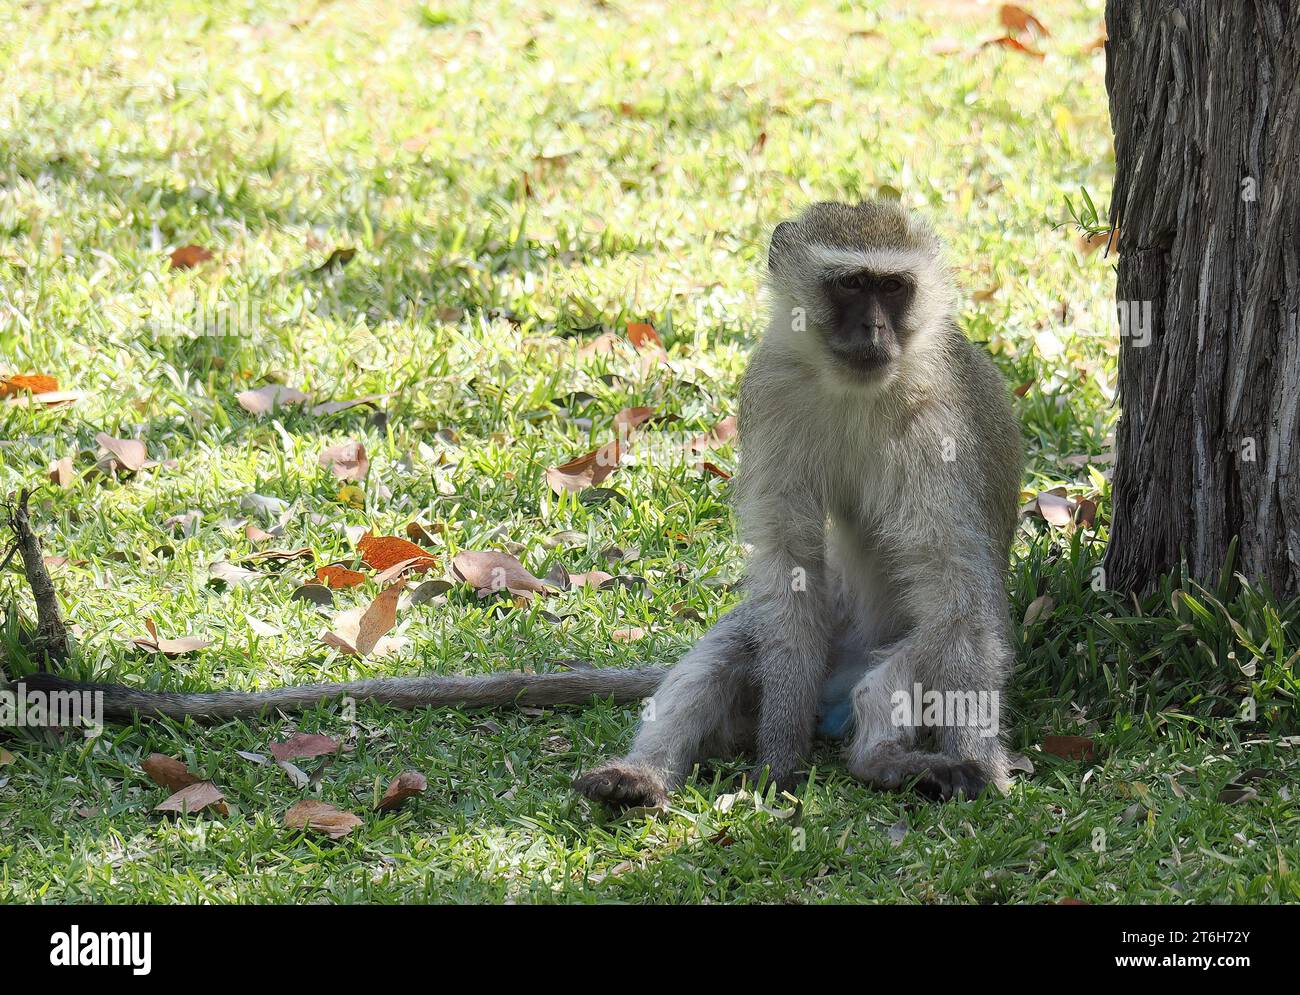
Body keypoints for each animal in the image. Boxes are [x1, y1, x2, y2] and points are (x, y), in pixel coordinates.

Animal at [19, 200, 1022, 810]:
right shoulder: (770, 388)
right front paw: (778, 755)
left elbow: (956, 589)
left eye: (894, 287)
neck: (855, 385)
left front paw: (959, 758)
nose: (877, 329)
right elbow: (787, 568)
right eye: (849, 286)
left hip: (883, 660)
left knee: (921, 654)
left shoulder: (938, 423)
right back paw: (642, 773)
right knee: (734, 647)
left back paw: (892, 757)